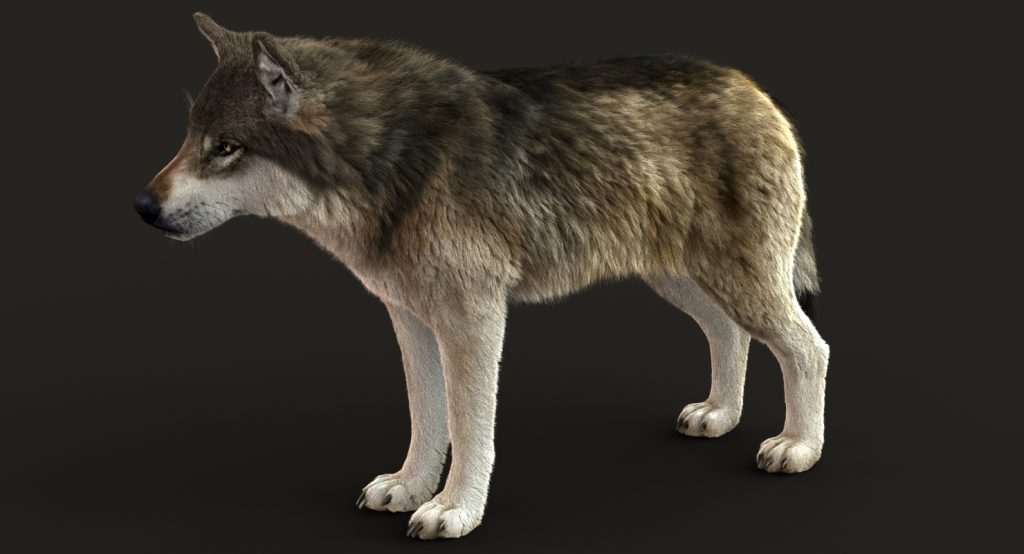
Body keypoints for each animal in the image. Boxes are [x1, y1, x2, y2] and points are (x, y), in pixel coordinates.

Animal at [135, 13, 830, 539]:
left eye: (226, 148)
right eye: (191, 136)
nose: (142, 207)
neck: (387, 157)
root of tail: (753, 88)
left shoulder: (473, 318)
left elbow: (470, 427)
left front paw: (455, 510)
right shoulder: (410, 318)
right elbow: (426, 418)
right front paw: (409, 487)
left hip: (738, 281)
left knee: (808, 348)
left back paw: (797, 447)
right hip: (685, 281)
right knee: (730, 334)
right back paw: (719, 415)